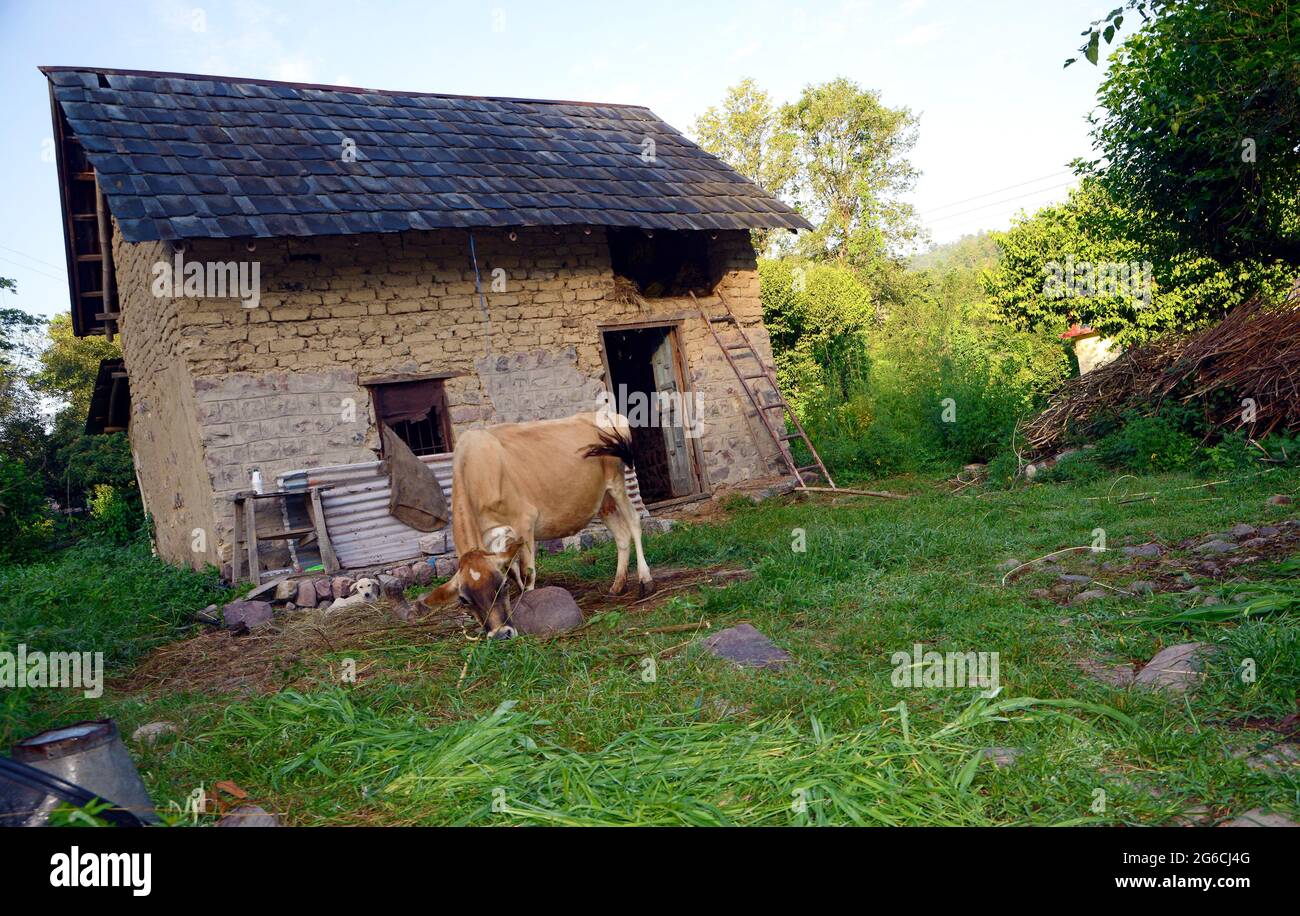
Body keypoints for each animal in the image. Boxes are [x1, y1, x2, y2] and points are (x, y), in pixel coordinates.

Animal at [419, 411, 654, 638]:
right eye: (464, 600)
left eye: (501, 587)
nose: (499, 634)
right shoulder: (495, 538)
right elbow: (513, 572)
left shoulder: (524, 521)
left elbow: (526, 572)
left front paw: (529, 604)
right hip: (603, 500)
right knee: (621, 535)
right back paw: (617, 585)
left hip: (617, 483)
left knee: (634, 522)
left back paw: (645, 579)